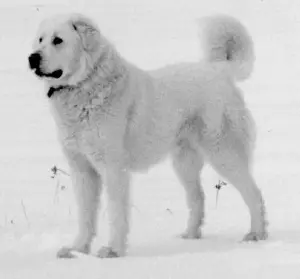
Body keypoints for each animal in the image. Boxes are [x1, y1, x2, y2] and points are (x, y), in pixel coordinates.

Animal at [28, 12, 268, 258]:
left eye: (58, 40)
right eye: (40, 39)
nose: (32, 58)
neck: (86, 84)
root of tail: (219, 70)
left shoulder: (113, 169)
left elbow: (116, 213)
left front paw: (112, 250)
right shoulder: (82, 169)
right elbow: (85, 216)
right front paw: (78, 250)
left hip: (224, 154)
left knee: (254, 194)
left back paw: (256, 235)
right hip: (184, 163)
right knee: (198, 198)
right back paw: (190, 236)